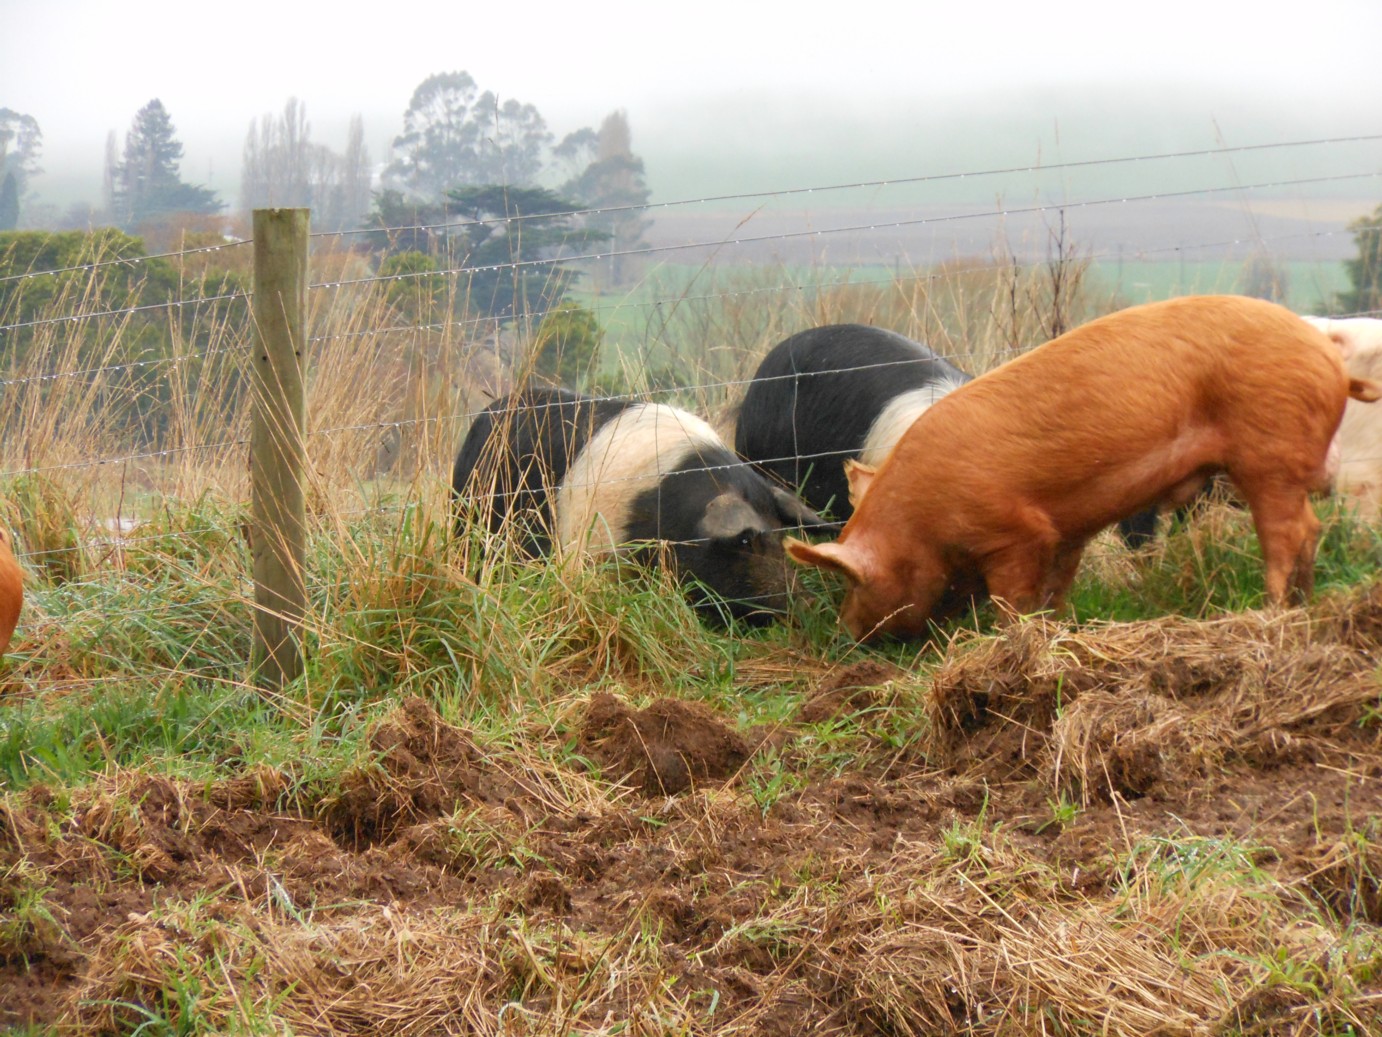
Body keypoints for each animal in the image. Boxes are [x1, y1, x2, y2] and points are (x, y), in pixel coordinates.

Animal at [785, 295, 1381, 641]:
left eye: (851, 578)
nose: (844, 629)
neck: (922, 520)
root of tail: (1323, 351)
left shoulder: (1014, 534)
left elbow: (1014, 598)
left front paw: (1010, 641)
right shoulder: (1062, 531)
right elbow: (1058, 585)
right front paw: (1056, 627)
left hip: (1270, 450)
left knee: (1290, 532)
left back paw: (1271, 609)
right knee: (1310, 531)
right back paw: (1302, 605)